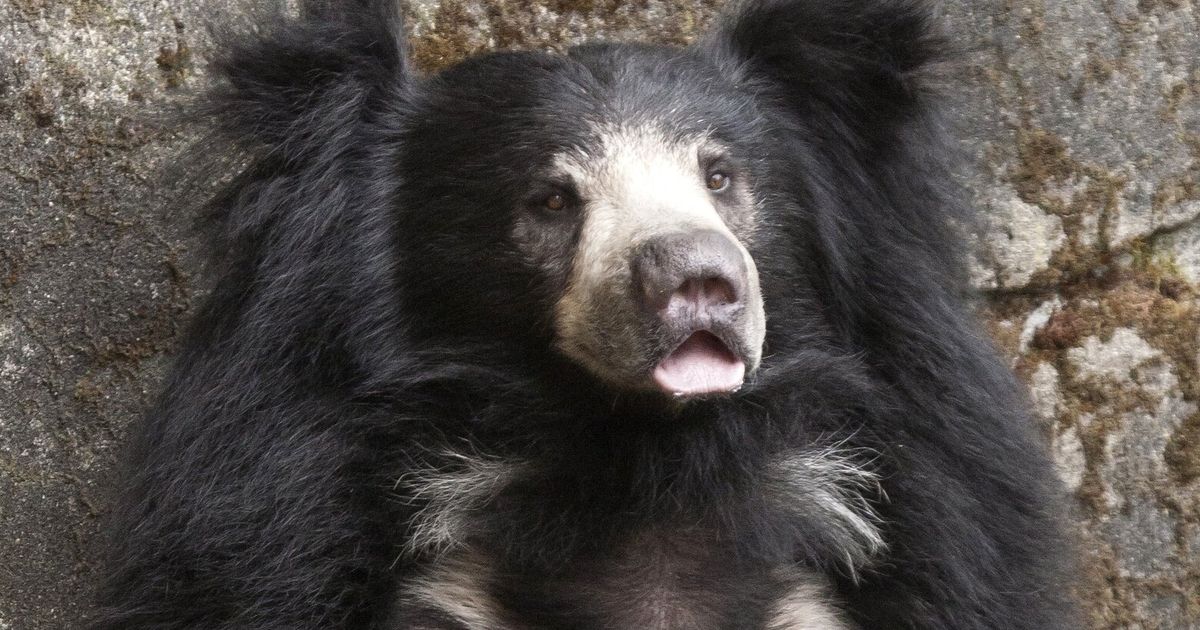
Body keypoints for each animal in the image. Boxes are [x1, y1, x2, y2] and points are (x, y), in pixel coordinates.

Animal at [91, 0, 1076, 628]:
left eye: (722, 175)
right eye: (552, 199)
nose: (697, 277)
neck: (644, 462)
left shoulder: (936, 517)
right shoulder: (278, 505)